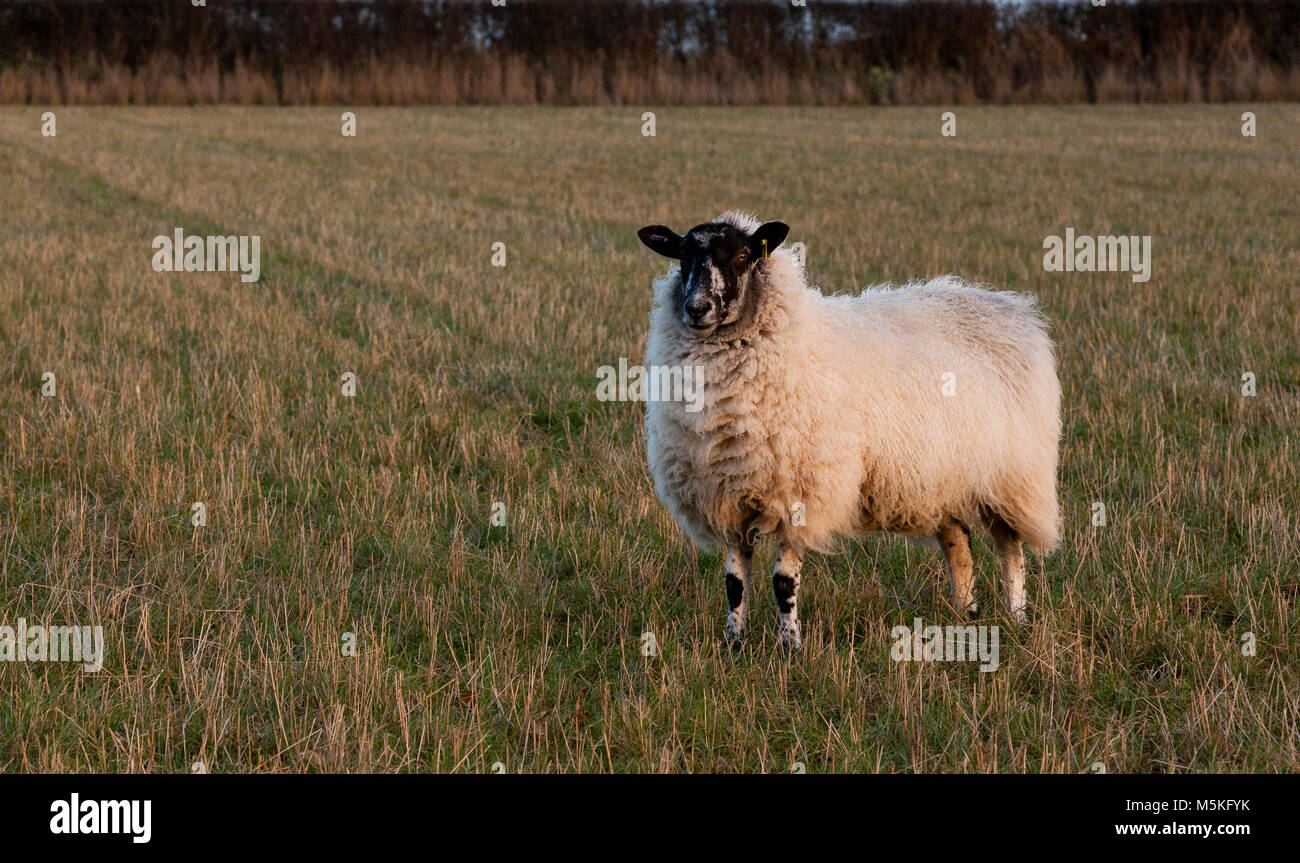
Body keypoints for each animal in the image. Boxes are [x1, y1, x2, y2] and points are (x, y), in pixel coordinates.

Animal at [637, 211, 1061, 648]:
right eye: (682, 256)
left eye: (742, 255)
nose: (696, 308)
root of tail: (1010, 306)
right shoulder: (730, 495)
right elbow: (735, 584)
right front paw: (733, 646)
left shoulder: (801, 492)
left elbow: (783, 582)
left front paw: (790, 647)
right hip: (942, 477)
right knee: (958, 542)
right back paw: (965, 614)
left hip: (1012, 476)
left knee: (1011, 548)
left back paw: (1017, 617)